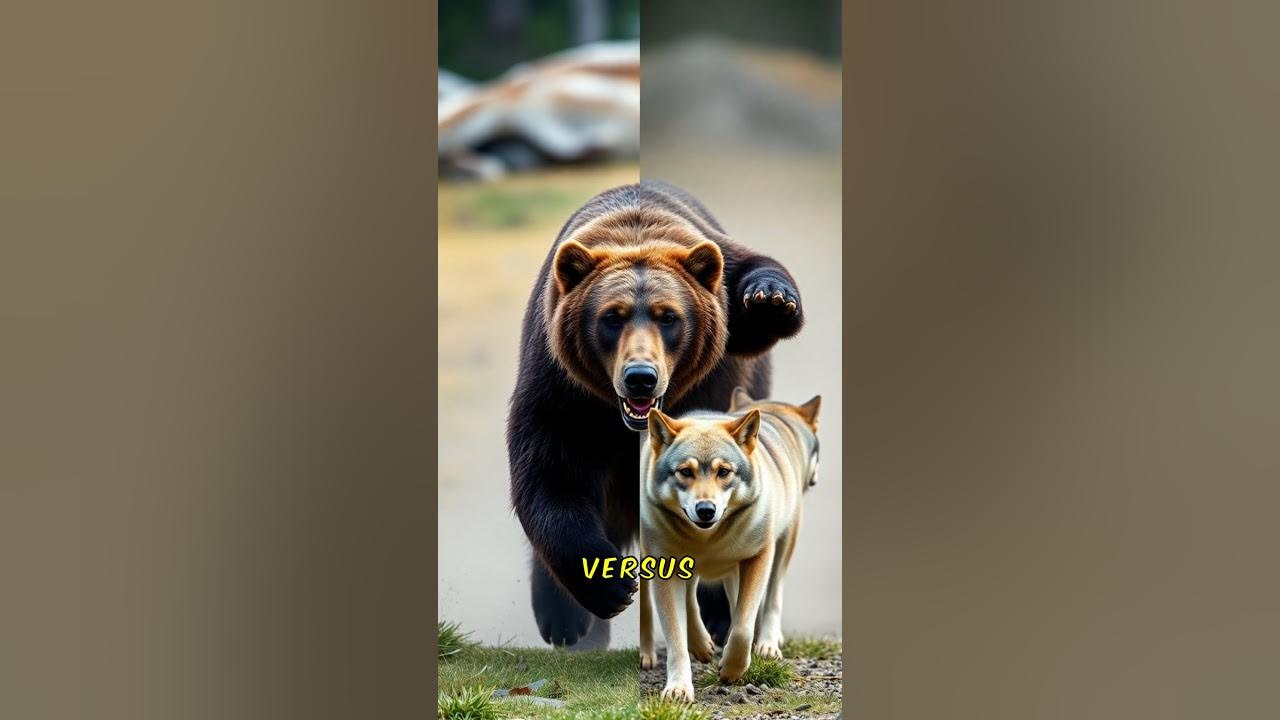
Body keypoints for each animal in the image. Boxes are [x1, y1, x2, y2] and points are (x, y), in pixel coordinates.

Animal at [507, 179, 803, 647]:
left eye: (670, 317)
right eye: (611, 317)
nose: (640, 378)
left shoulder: (720, 294)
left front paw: (771, 299)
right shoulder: (564, 391)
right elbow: (552, 470)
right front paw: (608, 586)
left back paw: (719, 617)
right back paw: (565, 623)